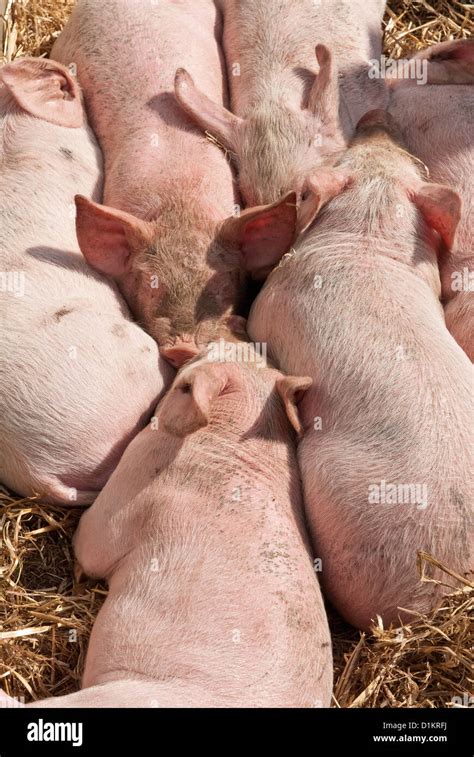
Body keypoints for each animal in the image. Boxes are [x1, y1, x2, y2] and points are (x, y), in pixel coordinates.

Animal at [247, 110, 473, 630]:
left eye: (339, 159)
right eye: (413, 162)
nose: (376, 117)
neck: (369, 233)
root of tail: (445, 587)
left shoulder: (267, 305)